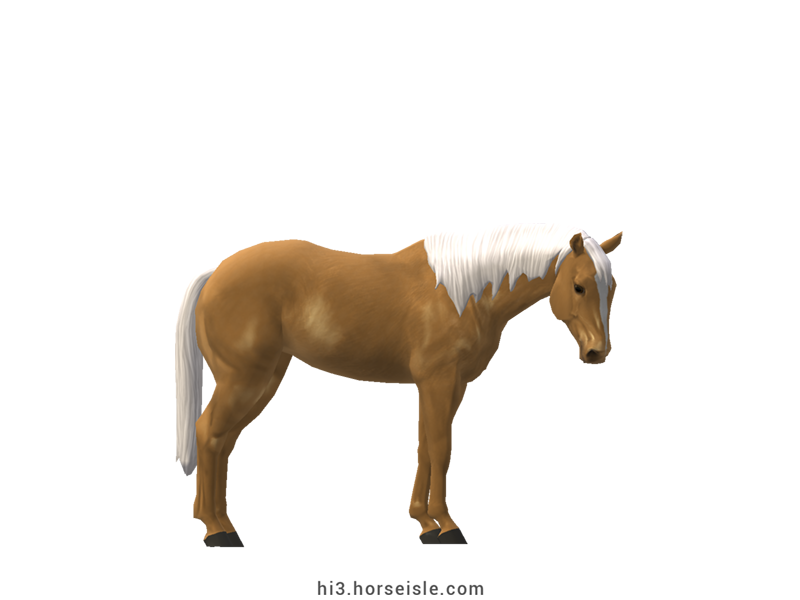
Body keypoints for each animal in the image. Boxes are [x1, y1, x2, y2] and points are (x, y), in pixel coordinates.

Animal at [175, 224, 618, 537]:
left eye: (609, 285)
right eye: (578, 286)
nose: (596, 351)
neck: (463, 293)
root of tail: (214, 276)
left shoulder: (441, 383)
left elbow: (424, 446)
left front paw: (421, 519)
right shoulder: (438, 378)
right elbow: (440, 447)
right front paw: (445, 520)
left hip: (251, 386)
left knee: (217, 441)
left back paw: (218, 518)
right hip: (242, 381)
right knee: (207, 434)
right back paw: (212, 525)